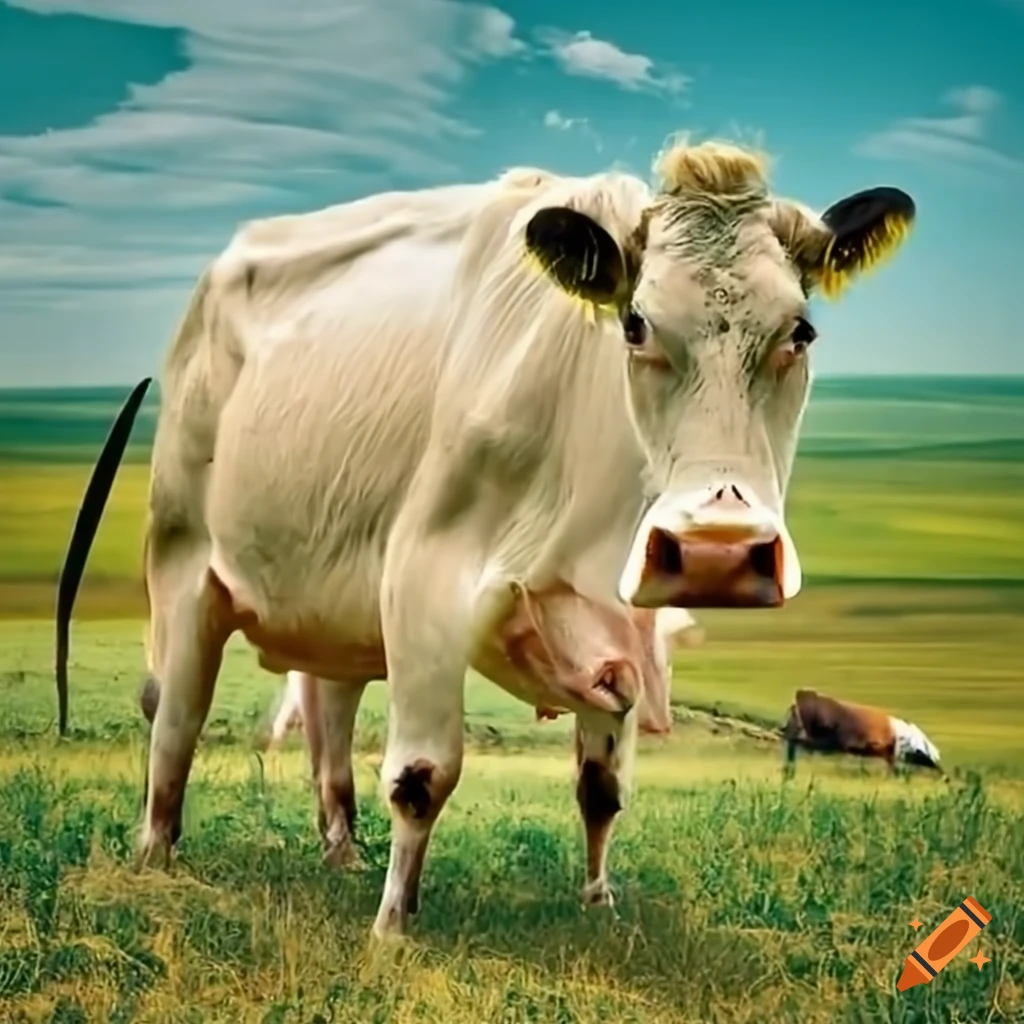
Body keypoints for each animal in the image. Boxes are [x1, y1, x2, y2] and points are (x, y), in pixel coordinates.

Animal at [56, 138, 916, 940]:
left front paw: (598, 902)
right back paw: (155, 859)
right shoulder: (424, 579)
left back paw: (341, 853)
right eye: (636, 323)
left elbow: (603, 788)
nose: (718, 551)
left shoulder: (625, 633)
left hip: (336, 598)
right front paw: (391, 930)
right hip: (183, 560)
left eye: (801, 330)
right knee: (176, 719)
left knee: (329, 716)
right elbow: (421, 775)